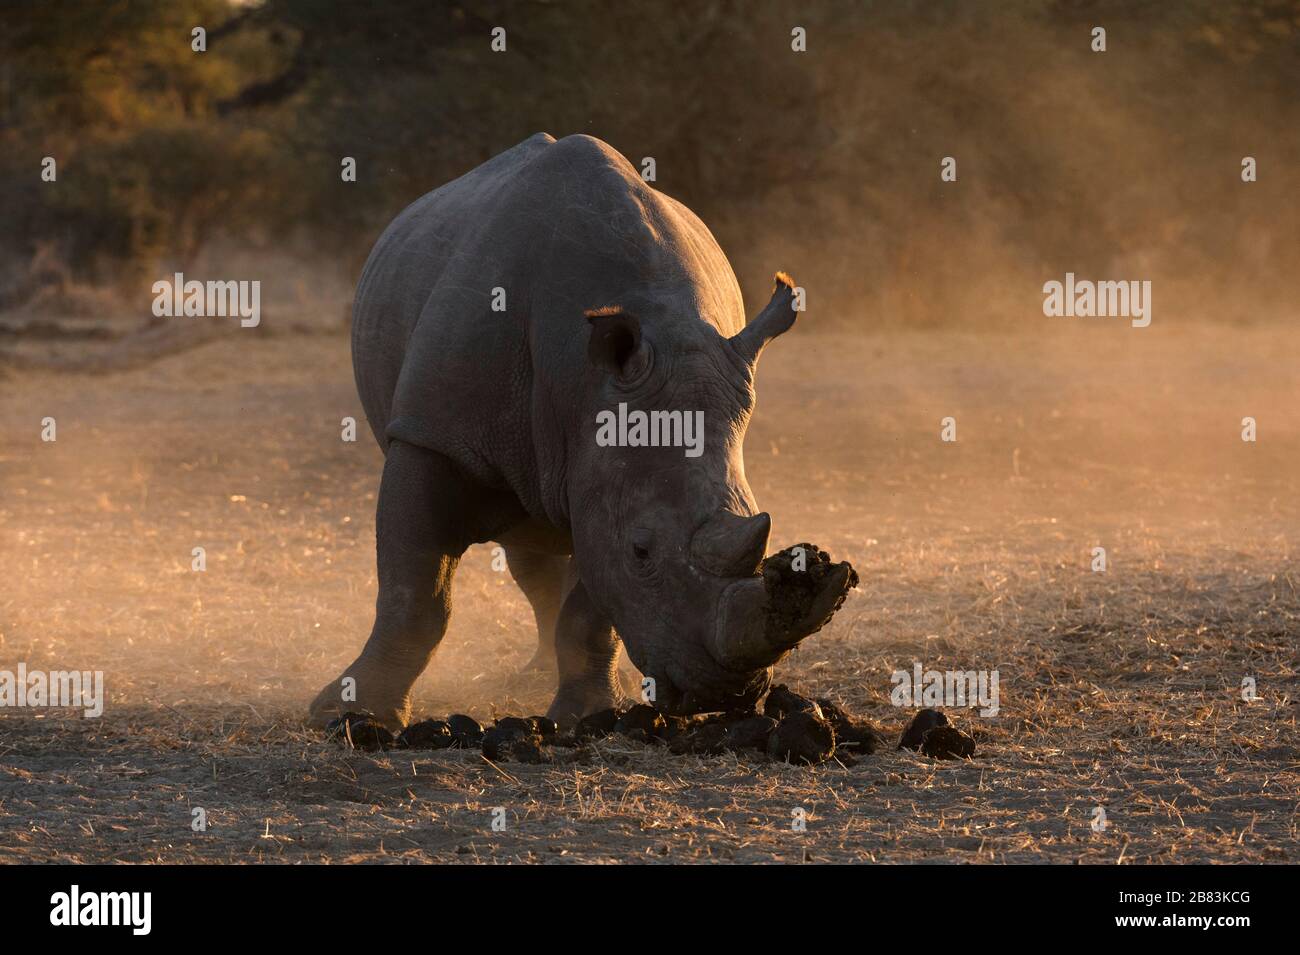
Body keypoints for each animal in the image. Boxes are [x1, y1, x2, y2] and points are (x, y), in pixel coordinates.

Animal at [310, 133, 853, 729]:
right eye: (642, 552)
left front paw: (585, 718)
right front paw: (349, 716)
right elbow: (414, 595)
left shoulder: (605, 473)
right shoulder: (432, 436)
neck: (578, 383)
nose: (723, 695)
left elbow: (592, 602)